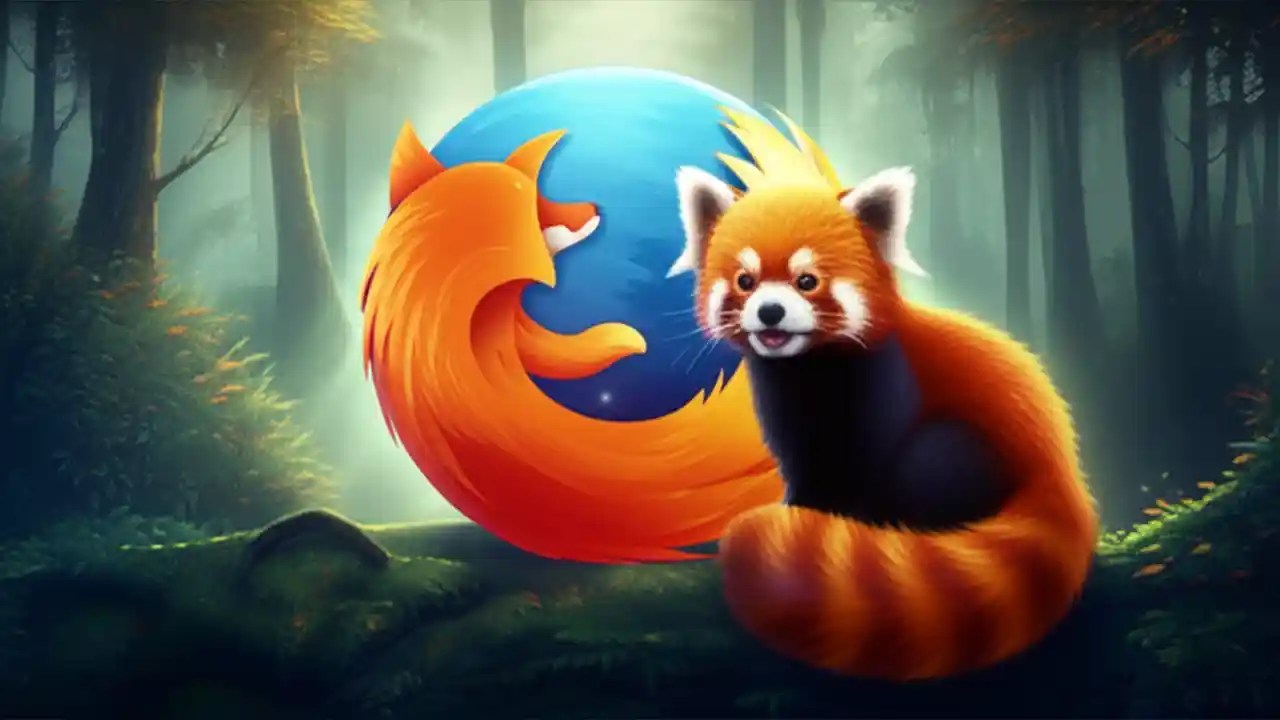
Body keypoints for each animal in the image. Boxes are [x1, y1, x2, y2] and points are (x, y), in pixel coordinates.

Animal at [666, 109, 1098, 679]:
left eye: (807, 281)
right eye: (745, 280)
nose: (770, 313)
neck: (810, 368)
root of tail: (1063, 471)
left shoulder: (882, 387)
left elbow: (861, 461)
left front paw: (820, 521)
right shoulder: (786, 412)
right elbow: (804, 461)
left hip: (968, 452)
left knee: (930, 459)